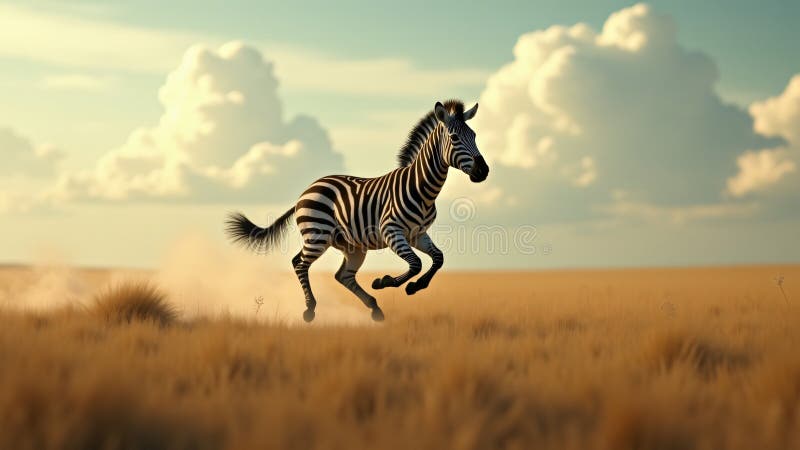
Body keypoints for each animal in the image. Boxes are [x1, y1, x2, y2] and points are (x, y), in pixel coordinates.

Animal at [225, 100, 489, 322]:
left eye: (475, 136)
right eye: (454, 137)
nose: (483, 171)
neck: (421, 188)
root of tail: (307, 190)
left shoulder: (417, 234)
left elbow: (438, 259)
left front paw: (415, 287)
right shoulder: (392, 231)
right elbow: (415, 264)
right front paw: (384, 281)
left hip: (352, 246)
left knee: (343, 275)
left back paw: (374, 307)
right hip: (317, 235)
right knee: (299, 263)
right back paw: (310, 309)